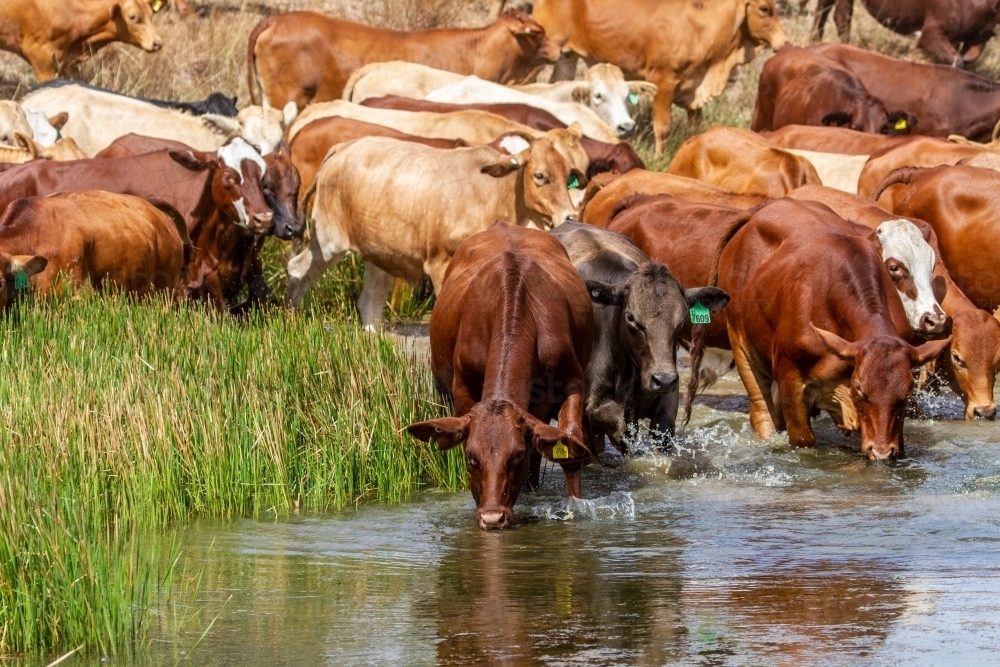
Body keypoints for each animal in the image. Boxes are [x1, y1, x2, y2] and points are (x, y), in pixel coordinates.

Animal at [287, 131, 583, 328]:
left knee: (370, 304)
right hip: (328, 240)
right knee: (297, 269)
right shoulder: (441, 264)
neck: (493, 193)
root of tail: (343, 147)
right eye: (540, 175)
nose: (570, 216)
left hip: (378, 254)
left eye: (567, 174)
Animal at [406, 223, 594, 530]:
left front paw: (574, 507)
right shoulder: (462, 388)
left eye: (515, 455)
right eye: (471, 457)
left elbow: (569, 447)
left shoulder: (572, 380)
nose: (492, 517)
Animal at [527, 0, 786, 155]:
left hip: (566, 59)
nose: (784, 42)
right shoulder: (663, 82)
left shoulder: (694, 88)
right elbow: (662, 127)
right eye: (764, 8)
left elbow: (695, 124)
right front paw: (660, 155)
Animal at [703, 198, 950, 459]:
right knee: (761, 413)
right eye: (859, 389)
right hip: (740, 344)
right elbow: (803, 439)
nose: (882, 452)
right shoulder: (792, 385)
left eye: (908, 393)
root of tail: (758, 212)